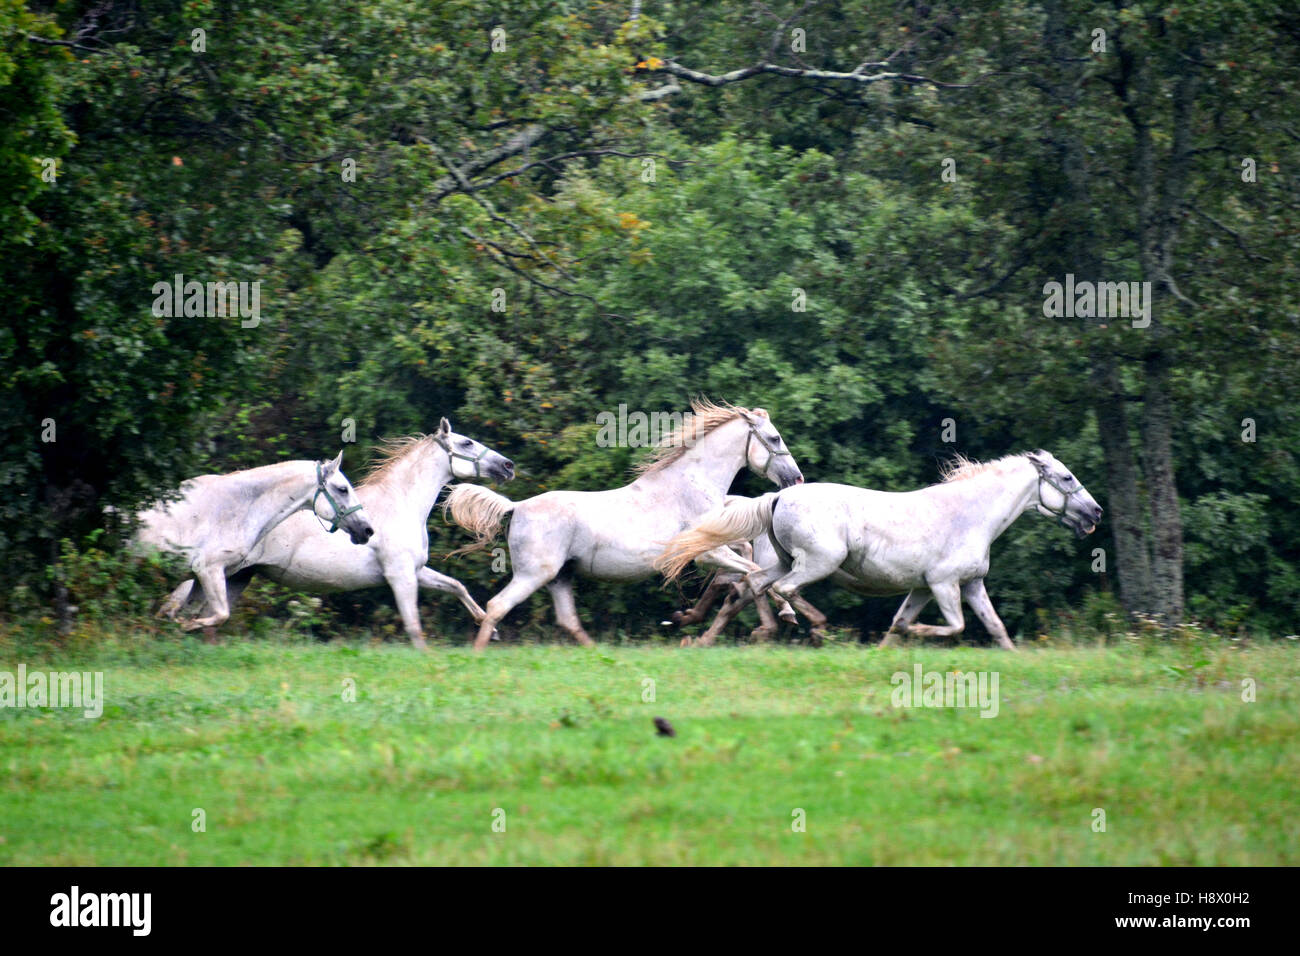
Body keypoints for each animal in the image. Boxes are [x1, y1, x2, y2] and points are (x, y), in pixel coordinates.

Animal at [135, 452, 374, 631]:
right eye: (343, 489)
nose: (367, 530)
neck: (236, 508)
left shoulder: (203, 577)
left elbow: (196, 613)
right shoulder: (208, 570)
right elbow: (219, 615)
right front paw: (182, 626)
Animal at [444, 399, 804, 650]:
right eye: (774, 438)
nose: (796, 478)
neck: (692, 483)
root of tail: (515, 507)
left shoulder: (714, 545)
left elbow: (748, 564)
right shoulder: (705, 553)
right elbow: (754, 573)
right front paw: (774, 622)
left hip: (559, 576)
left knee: (567, 620)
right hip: (535, 574)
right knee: (497, 606)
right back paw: (478, 656)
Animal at [656, 450, 1102, 650]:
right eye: (1066, 477)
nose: (1094, 512)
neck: (968, 515)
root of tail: (776, 497)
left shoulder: (953, 586)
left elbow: (993, 627)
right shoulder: (944, 584)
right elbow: (954, 626)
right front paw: (916, 634)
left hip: (782, 562)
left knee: (751, 584)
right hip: (819, 562)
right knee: (778, 590)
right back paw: (811, 627)